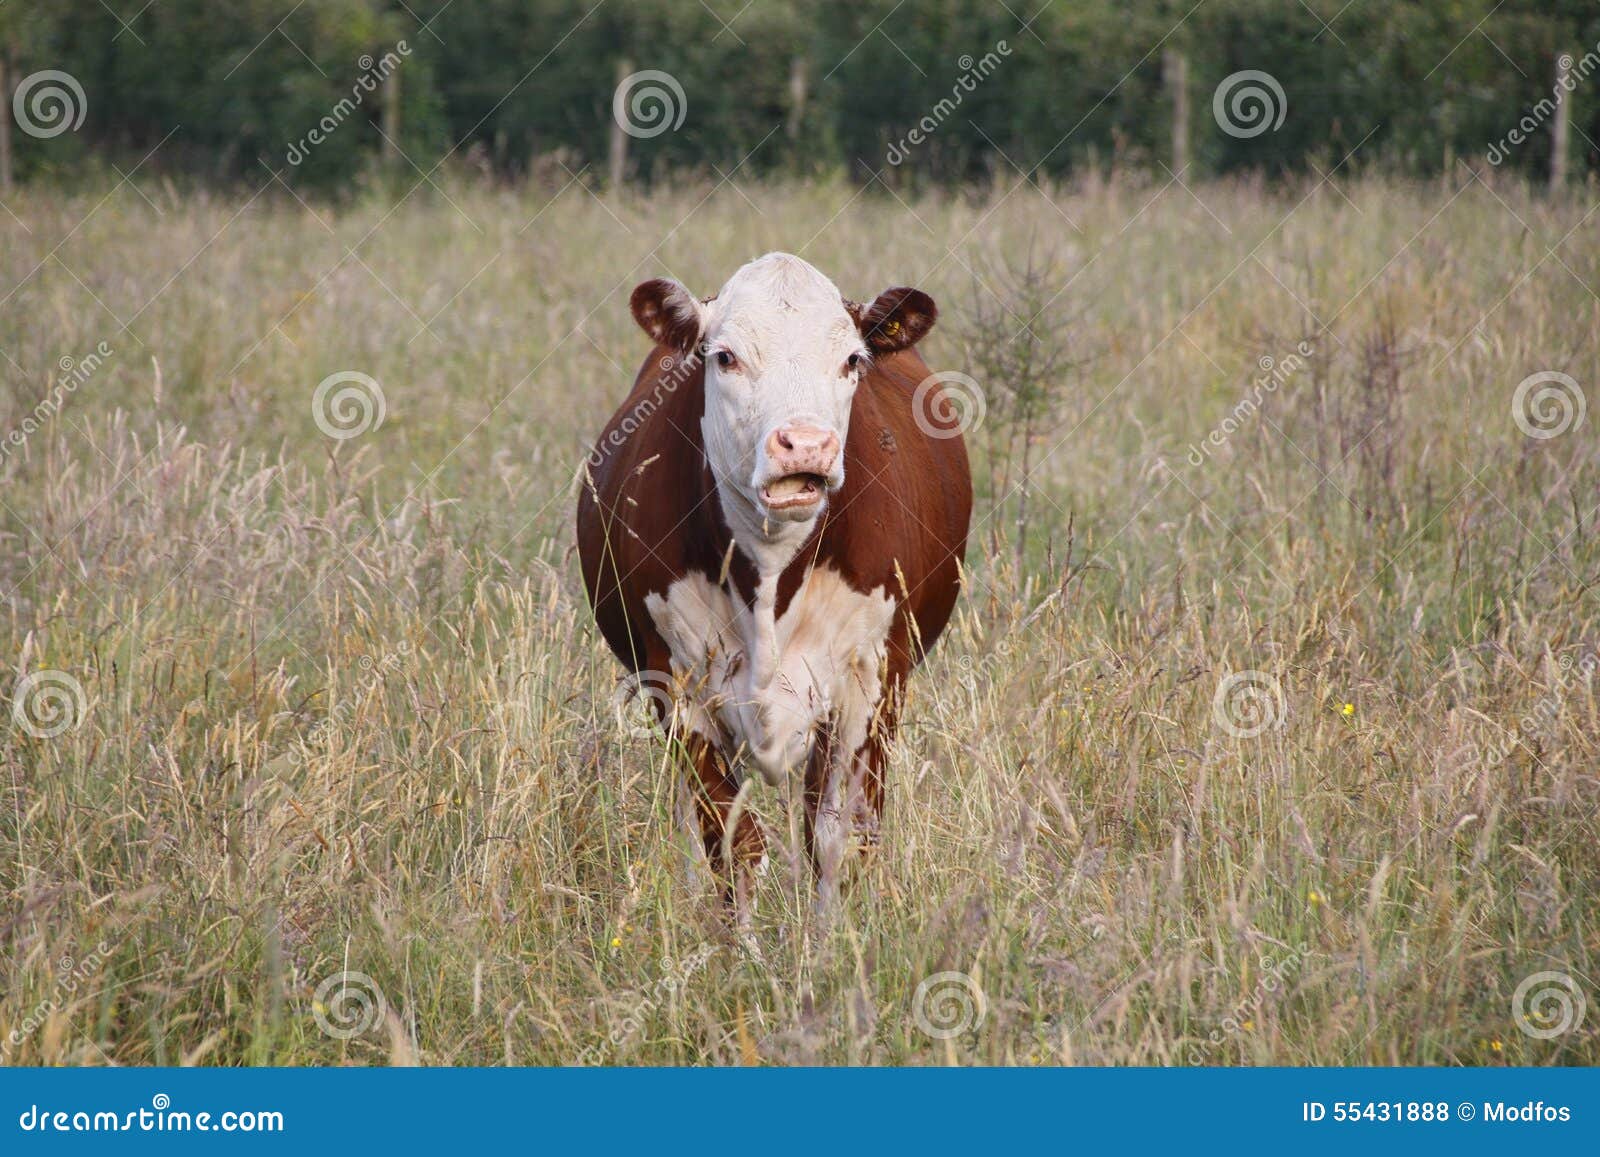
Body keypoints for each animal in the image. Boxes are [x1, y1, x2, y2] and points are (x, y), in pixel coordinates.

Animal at [577, 252, 971, 914]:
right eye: (725, 356)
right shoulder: (676, 681)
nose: (805, 445)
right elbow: (732, 842)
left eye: (851, 359)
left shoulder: (873, 677)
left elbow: (839, 839)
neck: (768, 573)